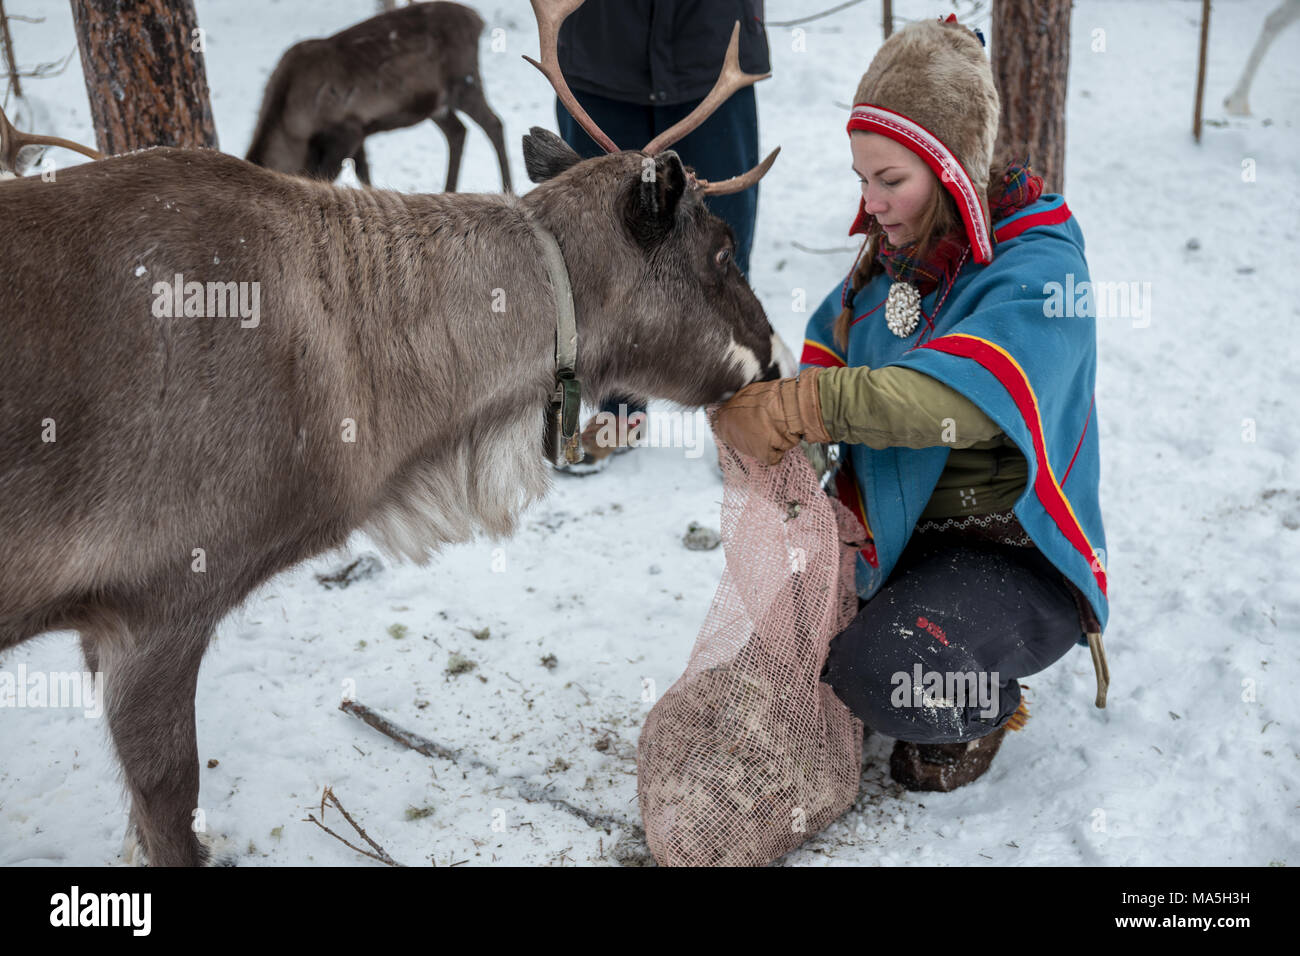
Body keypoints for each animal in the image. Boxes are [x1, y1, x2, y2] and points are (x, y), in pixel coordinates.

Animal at [245, 1, 513, 192]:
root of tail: (477, 20)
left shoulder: (347, 131)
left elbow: (330, 177)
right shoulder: (360, 131)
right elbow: (364, 175)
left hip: (464, 81)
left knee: (494, 124)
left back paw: (507, 188)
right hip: (437, 104)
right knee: (457, 131)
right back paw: (448, 190)